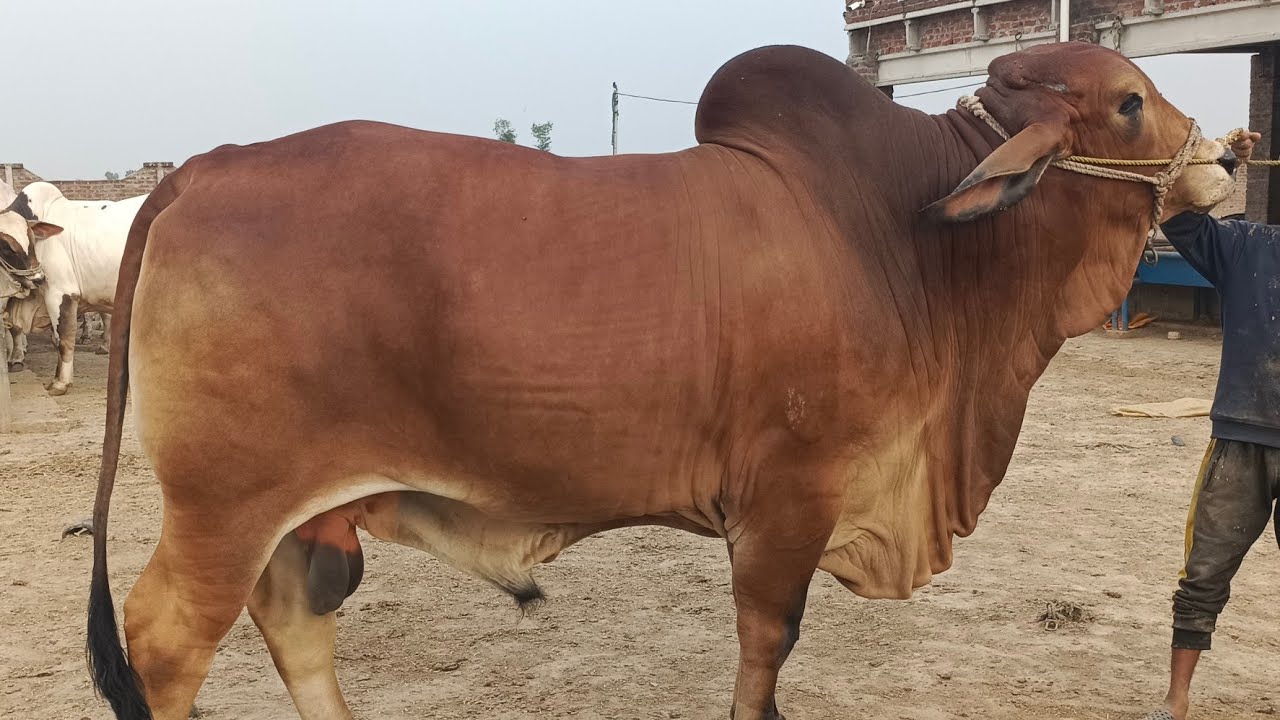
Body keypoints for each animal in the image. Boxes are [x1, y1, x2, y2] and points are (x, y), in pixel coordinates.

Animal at [0, 183, 146, 393]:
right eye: (5, 246)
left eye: (30, 239)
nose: (38, 277)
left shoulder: (61, 293)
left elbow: (63, 338)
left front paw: (60, 382)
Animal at [82, 42, 1240, 720]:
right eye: (1128, 103)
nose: (1227, 161)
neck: (908, 242)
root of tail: (206, 166)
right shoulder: (790, 497)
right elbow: (767, 646)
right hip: (223, 503)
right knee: (168, 640)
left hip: (291, 512)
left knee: (293, 619)